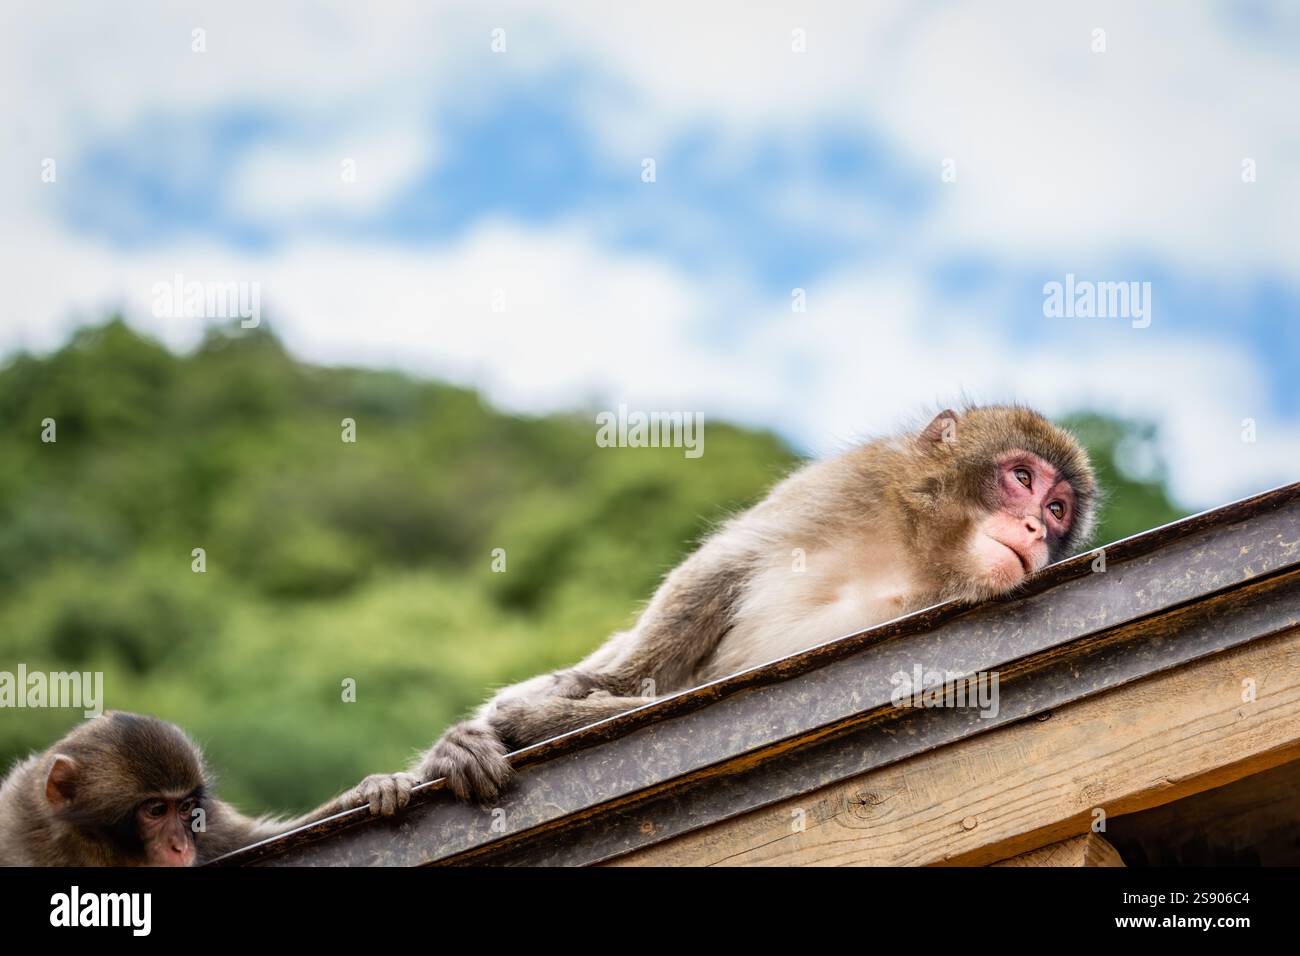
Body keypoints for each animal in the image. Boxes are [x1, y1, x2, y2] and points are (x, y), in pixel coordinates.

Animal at [0, 711, 420, 866]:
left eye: (185, 807)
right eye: (156, 810)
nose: (181, 846)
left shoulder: (208, 823)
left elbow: (262, 840)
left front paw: (370, 789)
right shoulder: (18, 831)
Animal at [413, 405, 1098, 803]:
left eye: (1057, 510)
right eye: (1022, 479)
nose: (1036, 529)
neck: (917, 552)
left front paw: (534, 720)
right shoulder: (854, 481)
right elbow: (722, 567)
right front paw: (582, 692)